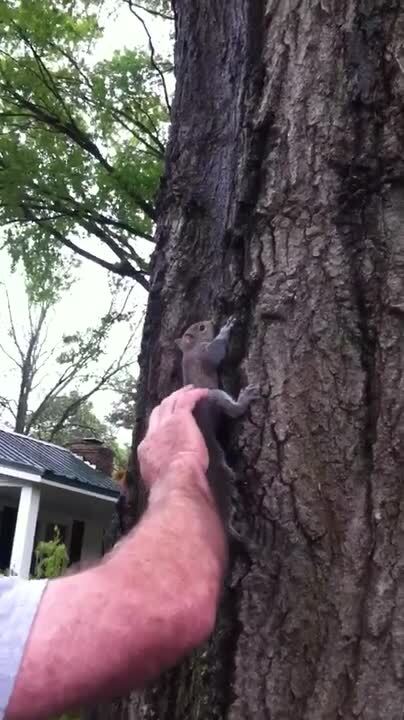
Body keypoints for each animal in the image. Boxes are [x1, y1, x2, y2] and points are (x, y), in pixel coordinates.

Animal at [175, 317, 259, 545]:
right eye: (202, 328)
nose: (211, 320)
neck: (190, 348)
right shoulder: (205, 353)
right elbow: (216, 353)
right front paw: (225, 329)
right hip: (215, 396)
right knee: (232, 409)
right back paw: (244, 400)